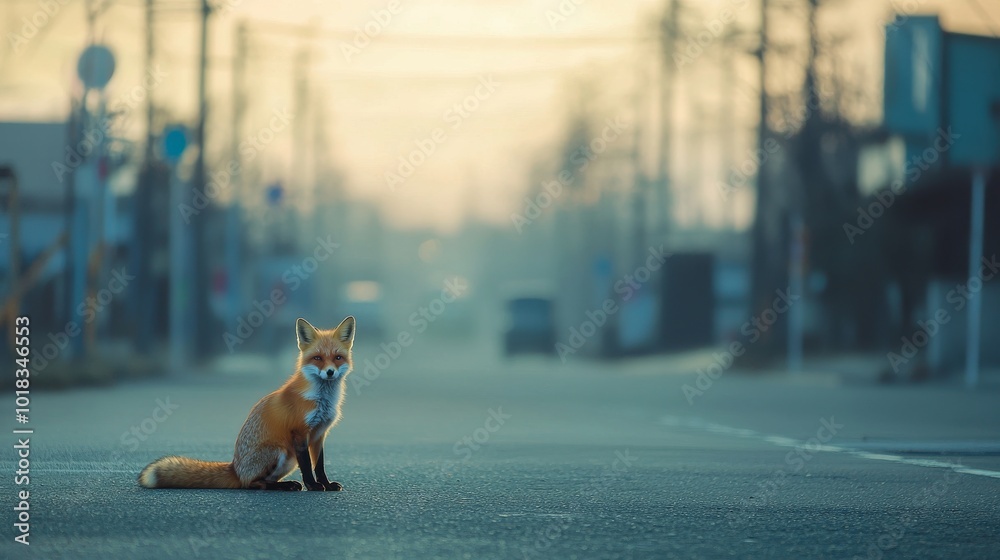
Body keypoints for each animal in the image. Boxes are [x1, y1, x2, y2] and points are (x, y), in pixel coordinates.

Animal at [139, 316, 356, 491]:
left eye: (337, 358)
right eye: (317, 358)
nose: (330, 372)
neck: (322, 400)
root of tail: (235, 468)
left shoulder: (319, 434)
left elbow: (319, 466)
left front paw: (326, 485)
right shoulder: (300, 432)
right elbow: (307, 467)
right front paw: (313, 486)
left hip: (289, 459)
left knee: (263, 481)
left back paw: (286, 484)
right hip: (279, 450)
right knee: (253, 484)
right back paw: (284, 486)